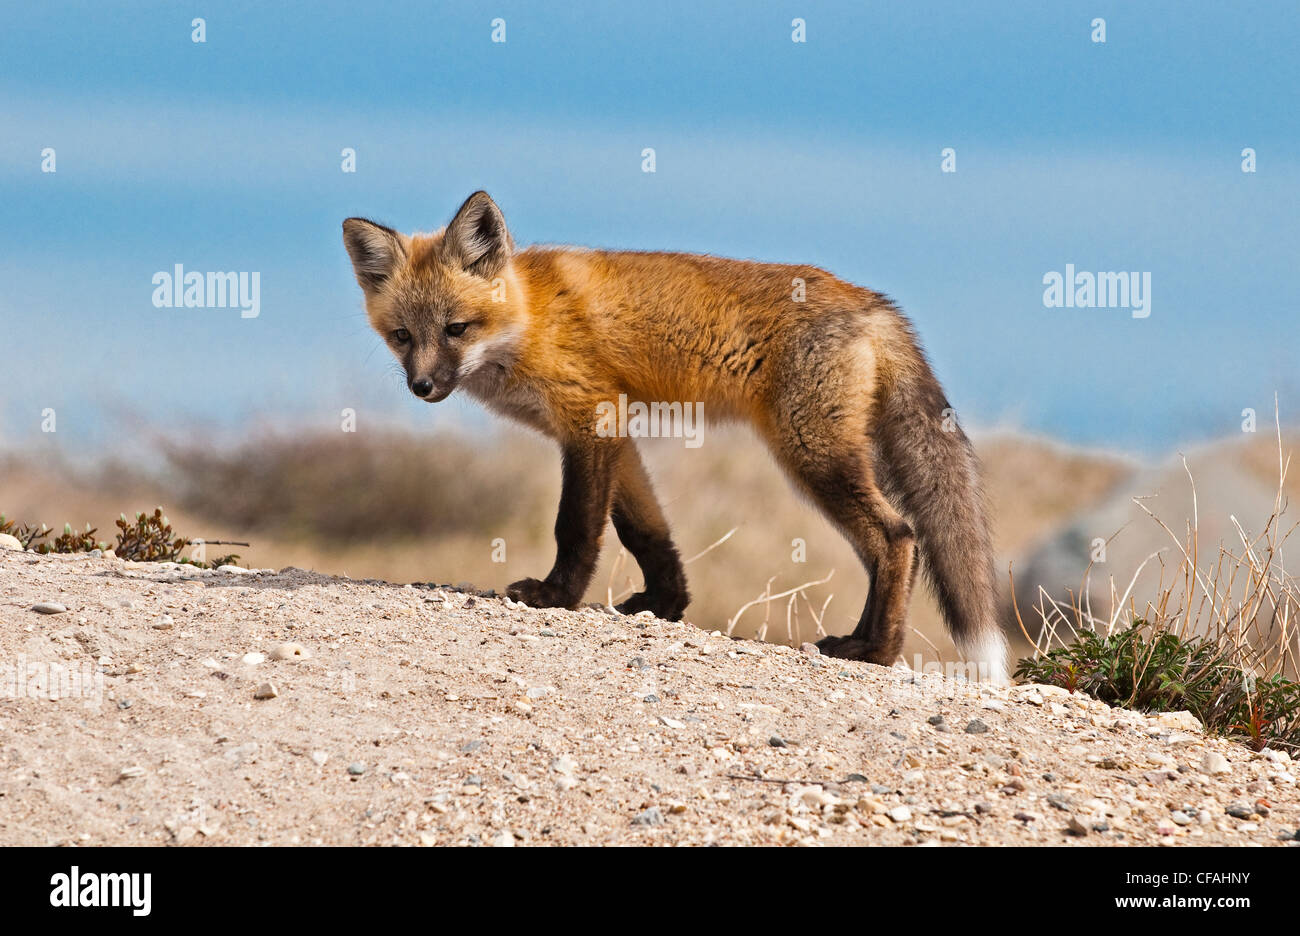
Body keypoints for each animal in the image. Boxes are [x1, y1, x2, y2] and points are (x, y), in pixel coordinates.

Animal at [343, 191, 1008, 683]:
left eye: (457, 328)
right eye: (403, 336)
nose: (423, 387)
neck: (530, 319)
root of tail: (872, 301)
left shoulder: (589, 421)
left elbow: (576, 526)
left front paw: (556, 595)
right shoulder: (617, 433)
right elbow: (645, 531)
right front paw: (665, 606)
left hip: (811, 455)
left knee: (897, 537)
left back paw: (877, 653)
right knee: (887, 545)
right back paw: (861, 639)